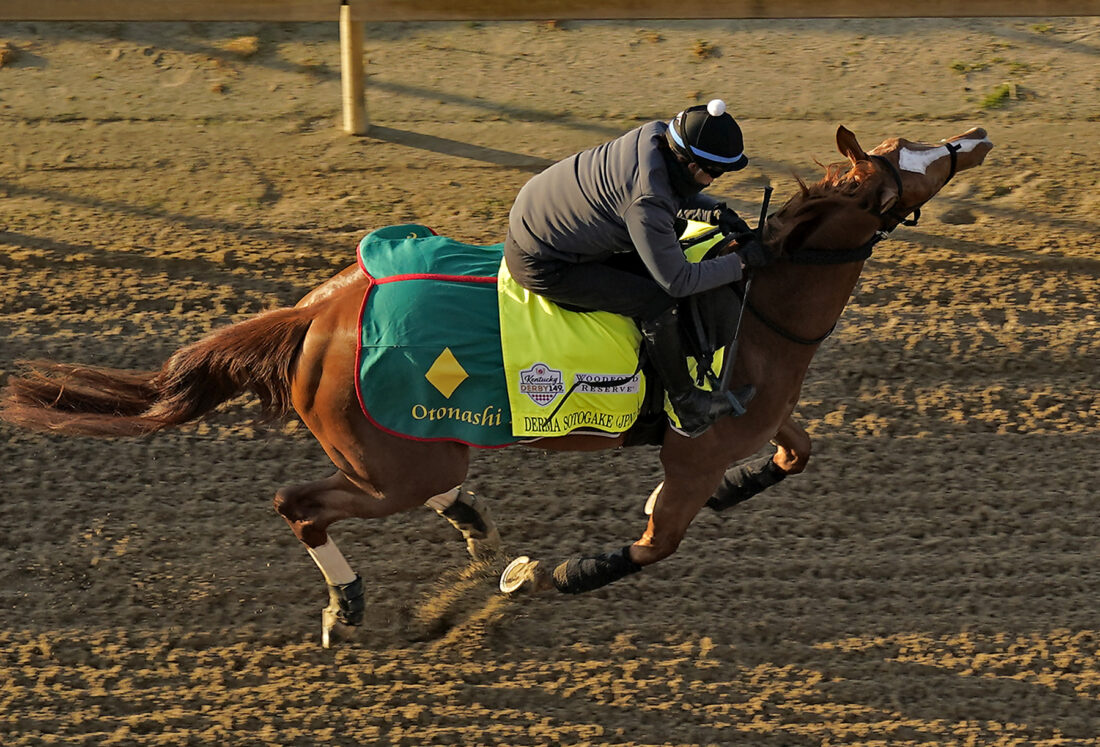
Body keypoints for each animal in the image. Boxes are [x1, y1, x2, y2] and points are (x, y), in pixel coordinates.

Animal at [1, 124, 992, 647]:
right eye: (904, 163)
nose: (974, 137)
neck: (753, 306)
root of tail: (316, 315)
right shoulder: (692, 450)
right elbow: (651, 543)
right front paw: (557, 572)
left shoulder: (751, 424)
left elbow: (795, 451)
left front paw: (742, 491)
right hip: (387, 461)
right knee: (301, 501)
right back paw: (349, 603)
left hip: (413, 448)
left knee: (425, 485)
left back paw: (472, 528)